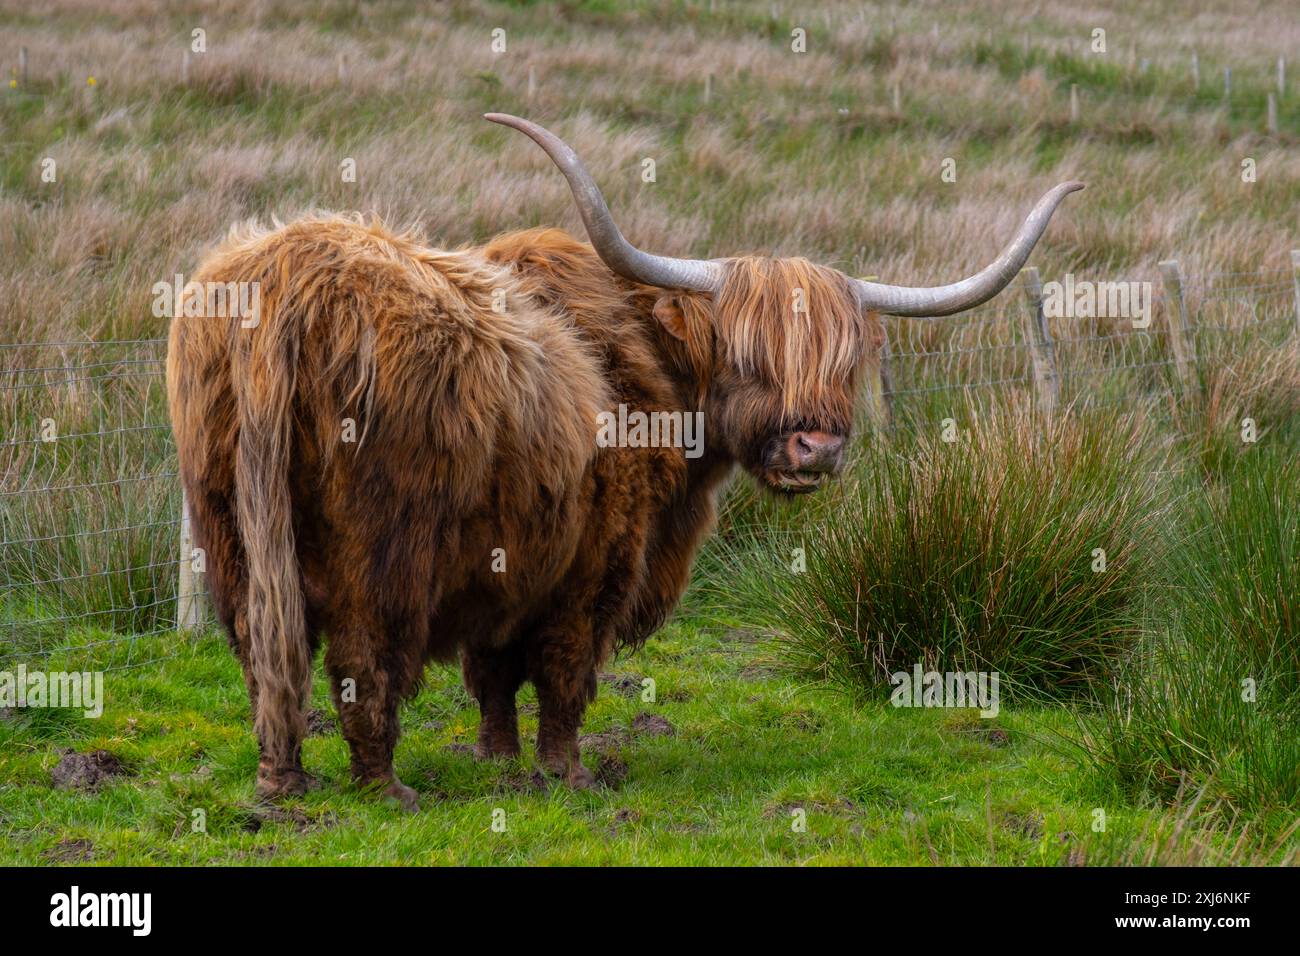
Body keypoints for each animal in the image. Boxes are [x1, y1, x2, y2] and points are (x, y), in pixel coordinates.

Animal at [166, 113, 1081, 809]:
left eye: (846, 361)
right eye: (749, 357)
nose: (815, 447)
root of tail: (288, 281)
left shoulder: (512, 565)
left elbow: (494, 674)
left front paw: (497, 760)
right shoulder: (595, 563)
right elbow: (564, 673)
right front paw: (565, 774)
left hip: (233, 540)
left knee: (263, 656)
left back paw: (282, 784)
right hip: (381, 558)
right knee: (365, 663)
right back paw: (386, 790)